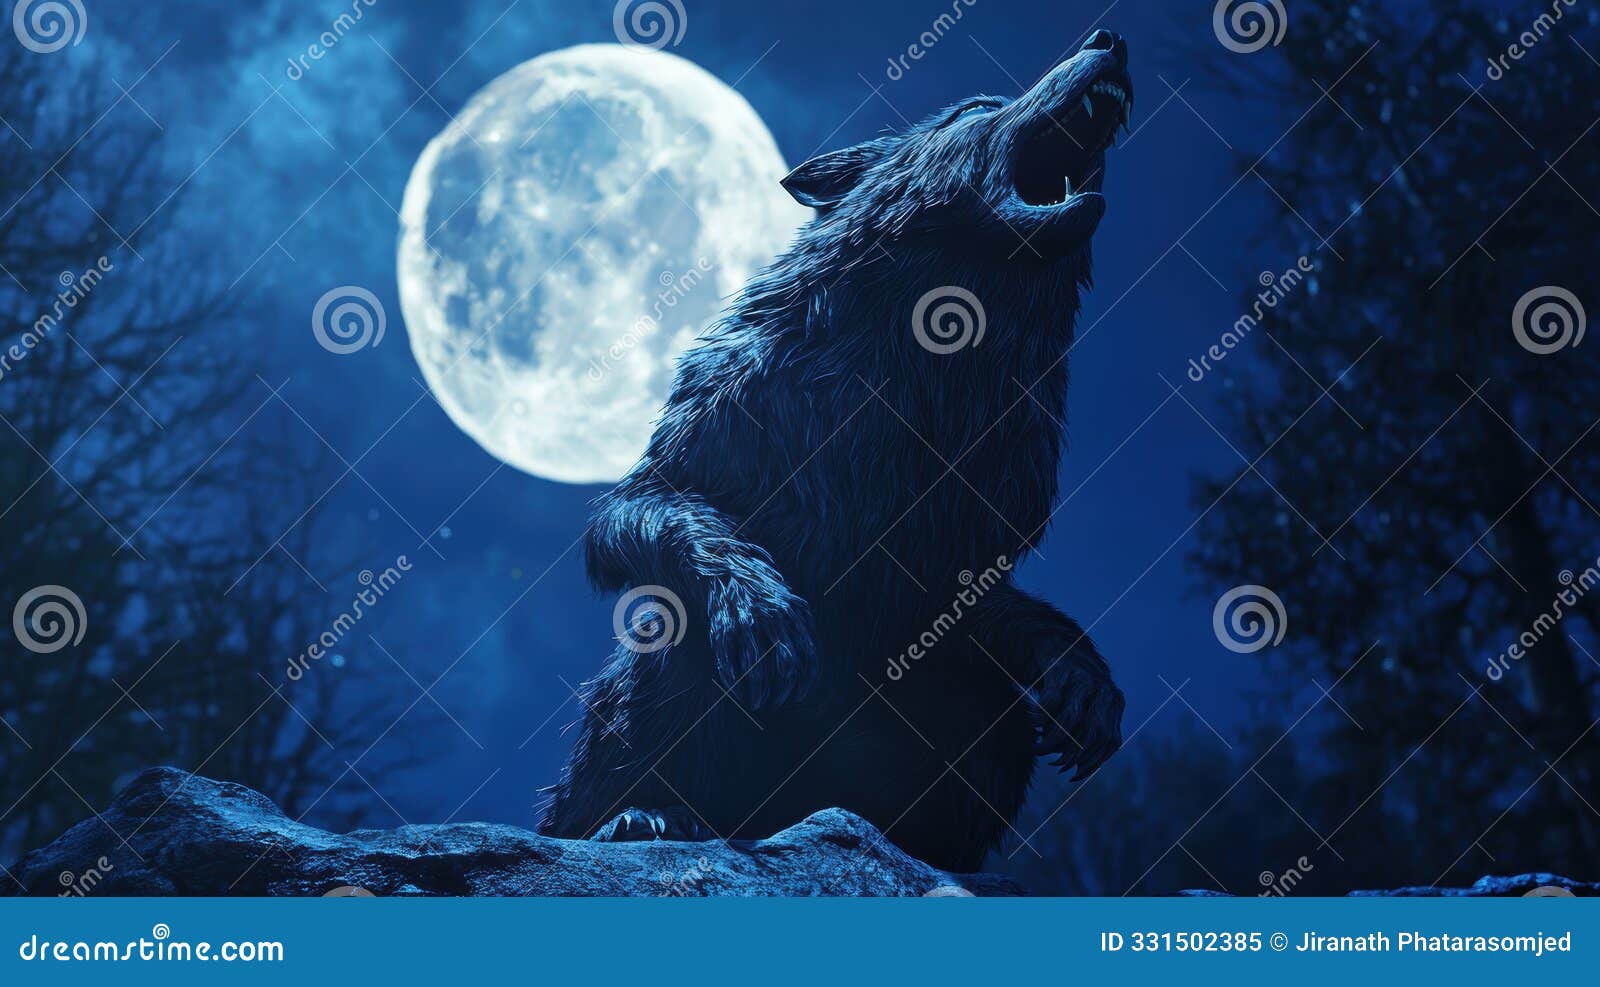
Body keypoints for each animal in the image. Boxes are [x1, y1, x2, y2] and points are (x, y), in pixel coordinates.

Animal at [539, 31, 1132, 872]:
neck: (930, 367)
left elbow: (1002, 607)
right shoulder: (688, 450)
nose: (1110, 39)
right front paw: (761, 606)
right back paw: (642, 818)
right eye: (978, 107)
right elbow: (660, 518)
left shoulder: (959, 549)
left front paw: (1083, 681)